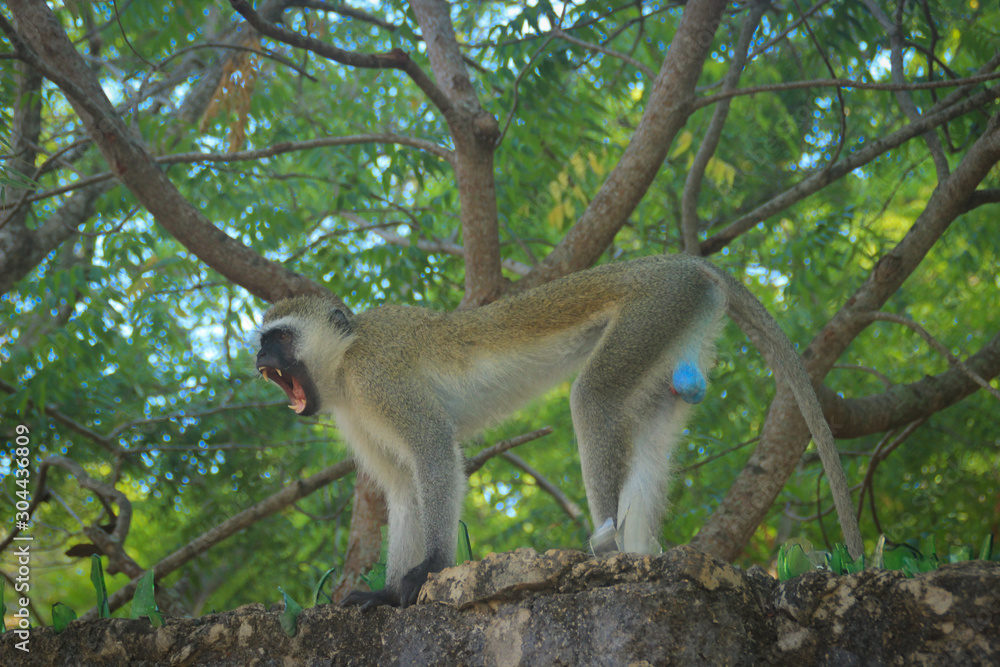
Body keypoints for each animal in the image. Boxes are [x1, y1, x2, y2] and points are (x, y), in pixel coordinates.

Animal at [253, 254, 864, 608]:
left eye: (278, 337)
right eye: (264, 341)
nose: (258, 359)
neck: (343, 364)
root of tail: (684, 262)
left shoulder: (378, 377)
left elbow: (433, 452)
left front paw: (428, 570)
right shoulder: (354, 414)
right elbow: (404, 489)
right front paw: (384, 593)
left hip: (656, 305)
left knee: (592, 398)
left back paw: (609, 553)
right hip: (680, 330)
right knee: (651, 426)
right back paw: (639, 555)